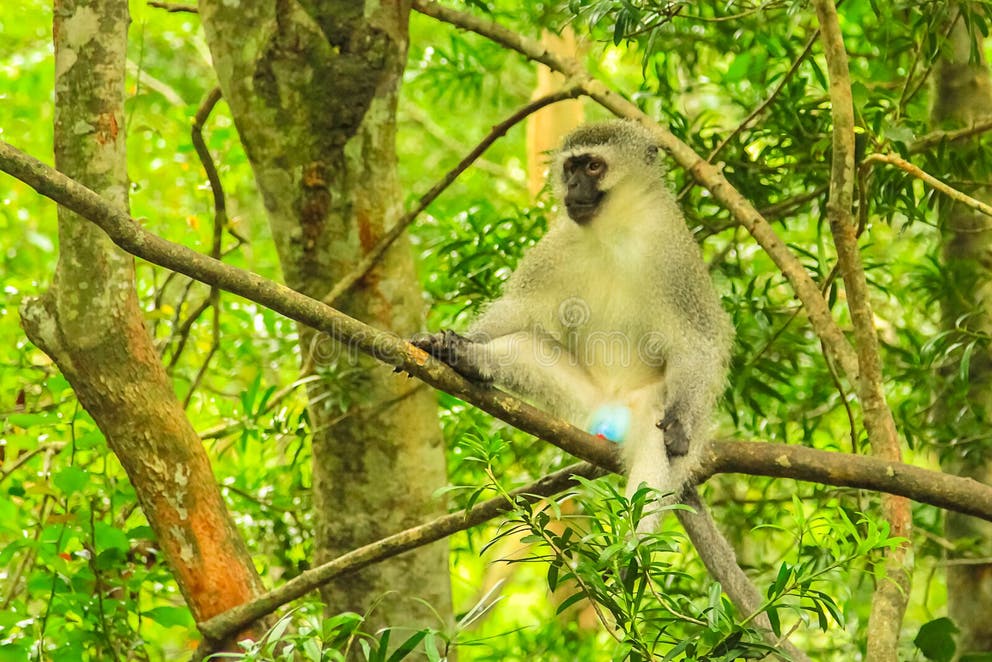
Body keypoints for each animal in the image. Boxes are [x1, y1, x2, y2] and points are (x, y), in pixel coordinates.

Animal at [413, 119, 734, 526]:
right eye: (570, 168)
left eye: (593, 167)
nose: (573, 187)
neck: (613, 230)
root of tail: (612, 406)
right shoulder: (558, 244)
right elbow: (518, 308)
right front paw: (458, 341)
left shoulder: (674, 253)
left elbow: (697, 341)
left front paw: (680, 422)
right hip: (584, 397)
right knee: (524, 346)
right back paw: (470, 359)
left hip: (646, 403)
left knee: (655, 446)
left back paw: (631, 539)